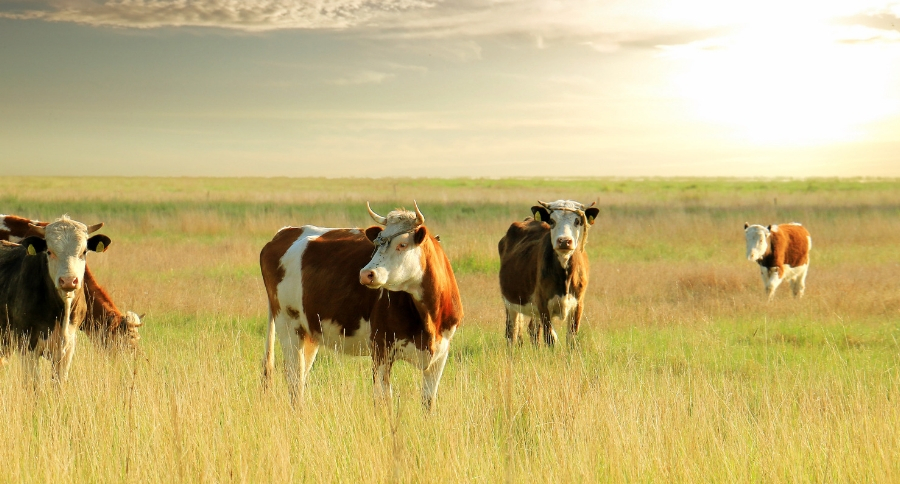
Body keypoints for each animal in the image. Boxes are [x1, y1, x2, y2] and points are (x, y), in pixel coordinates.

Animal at [260, 202, 463, 409]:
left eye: (402, 244)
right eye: (378, 244)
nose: (366, 274)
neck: (429, 317)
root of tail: (286, 231)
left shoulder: (440, 353)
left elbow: (428, 401)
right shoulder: (381, 347)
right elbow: (383, 399)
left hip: (309, 332)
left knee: (300, 377)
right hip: (288, 324)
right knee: (294, 377)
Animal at [499, 200, 600, 348]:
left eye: (577, 221)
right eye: (552, 221)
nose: (564, 241)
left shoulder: (578, 304)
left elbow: (571, 338)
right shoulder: (543, 304)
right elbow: (550, 338)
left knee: (532, 330)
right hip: (510, 302)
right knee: (512, 332)